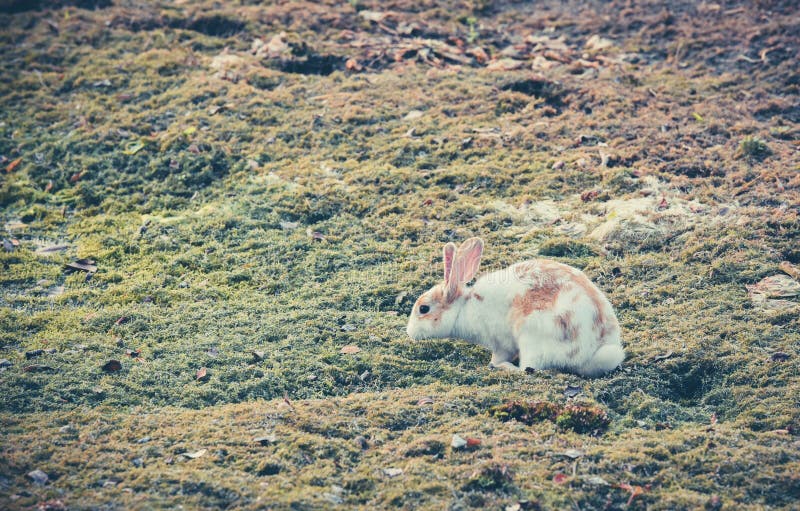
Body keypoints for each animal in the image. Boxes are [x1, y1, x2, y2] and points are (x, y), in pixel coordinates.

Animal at [406, 237, 625, 377]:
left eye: (423, 309)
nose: (410, 332)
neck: (463, 308)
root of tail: (592, 352)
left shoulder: (500, 343)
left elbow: (499, 355)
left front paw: (495, 364)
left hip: (532, 339)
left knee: (528, 369)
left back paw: (504, 368)